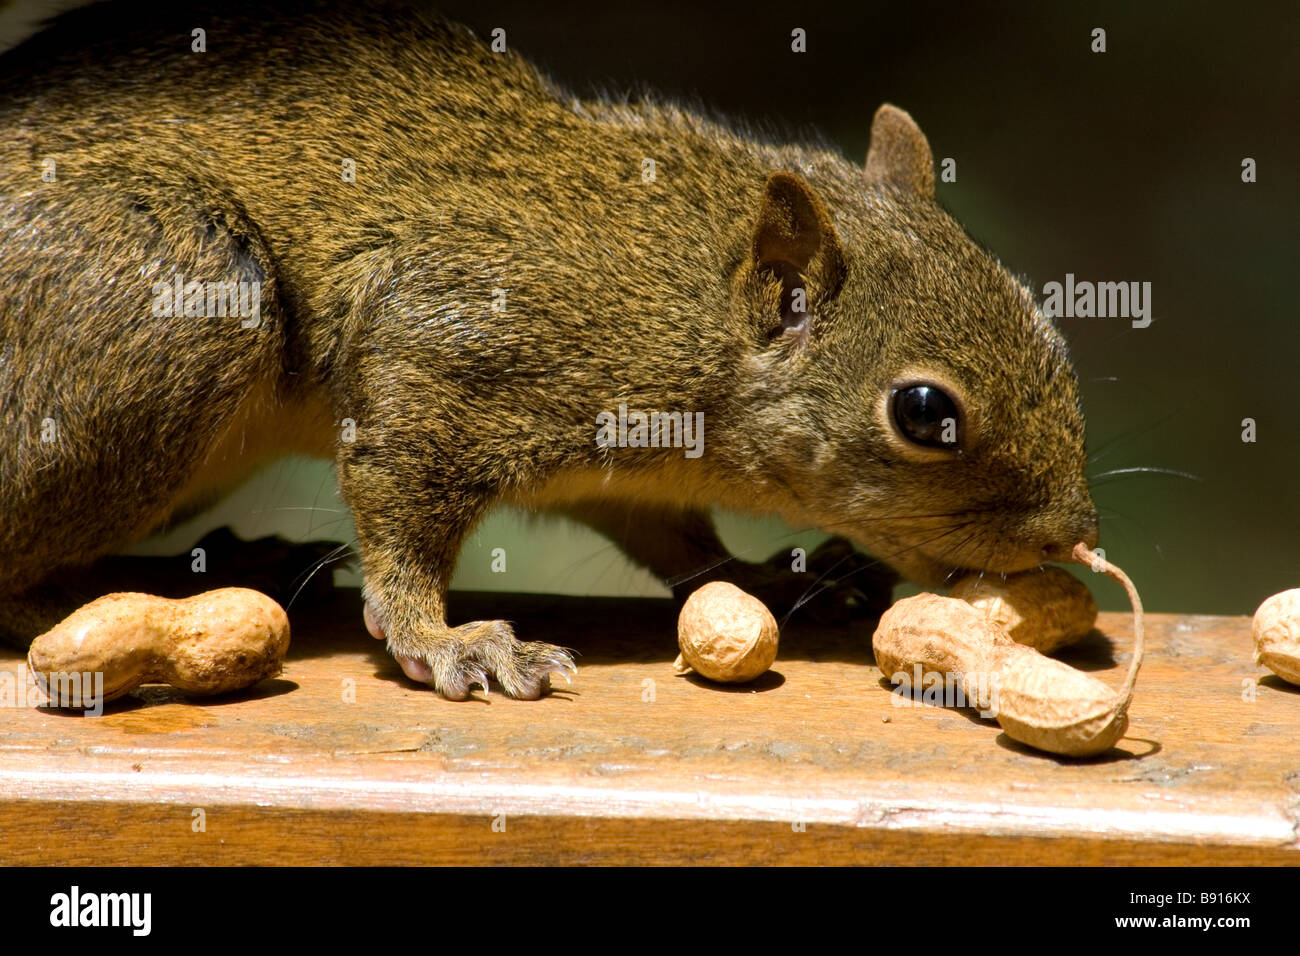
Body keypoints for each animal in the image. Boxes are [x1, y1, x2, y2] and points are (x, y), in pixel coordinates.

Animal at [0, 1, 1098, 700]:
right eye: (923, 411)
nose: (1073, 535)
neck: (689, 302)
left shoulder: (626, 468)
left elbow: (676, 541)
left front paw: (781, 581)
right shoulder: (447, 346)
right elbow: (403, 519)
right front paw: (446, 640)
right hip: (175, 289)